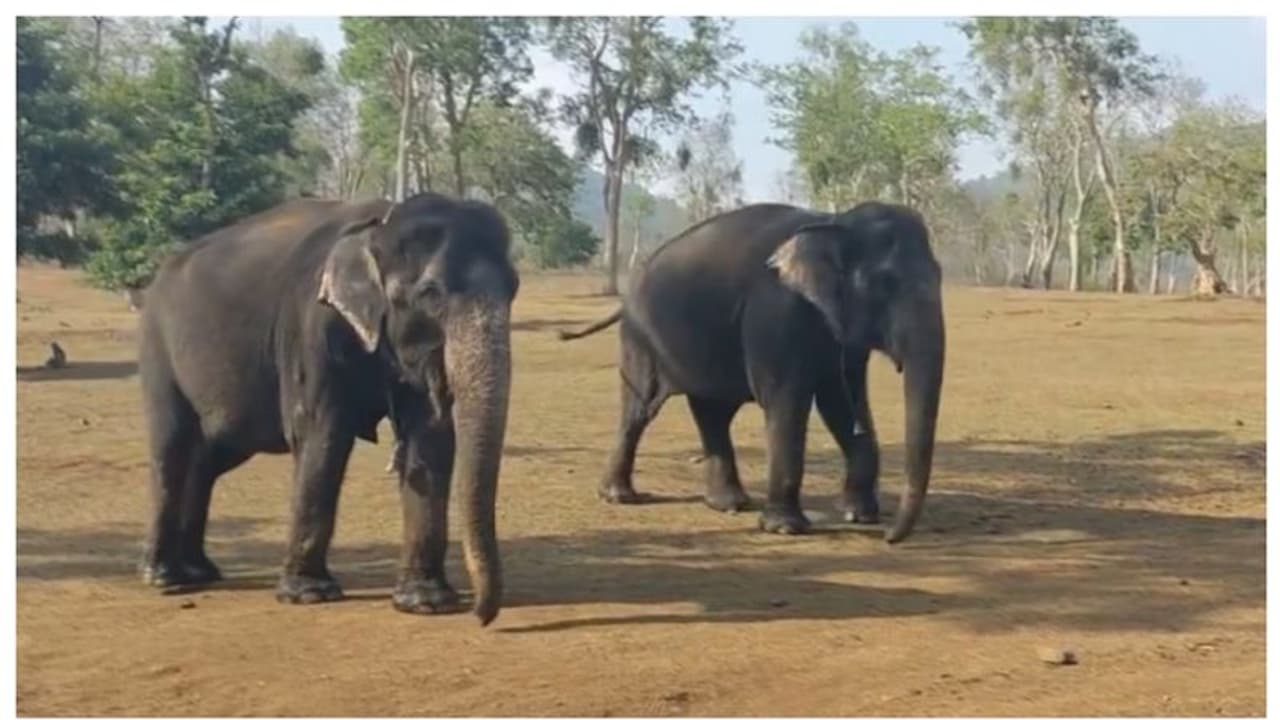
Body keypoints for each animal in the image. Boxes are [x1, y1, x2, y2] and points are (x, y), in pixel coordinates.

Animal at [137, 192, 518, 625]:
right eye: (431, 293)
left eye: (515, 288)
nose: (482, 616)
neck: (380, 226)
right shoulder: (311, 329)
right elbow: (323, 435)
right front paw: (309, 594)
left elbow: (431, 441)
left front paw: (427, 603)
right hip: (157, 347)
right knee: (173, 447)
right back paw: (164, 578)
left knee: (208, 458)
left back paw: (199, 571)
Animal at [558, 201, 944, 543]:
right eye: (886, 284)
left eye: (941, 277)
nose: (890, 537)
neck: (834, 221)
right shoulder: (775, 311)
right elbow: (787, 399)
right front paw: (786, 529)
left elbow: (840, 399)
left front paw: (859, 515)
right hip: (640, 339)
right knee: (641, 410)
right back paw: (620, 497)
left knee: (713, 413)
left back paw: (729, 505)